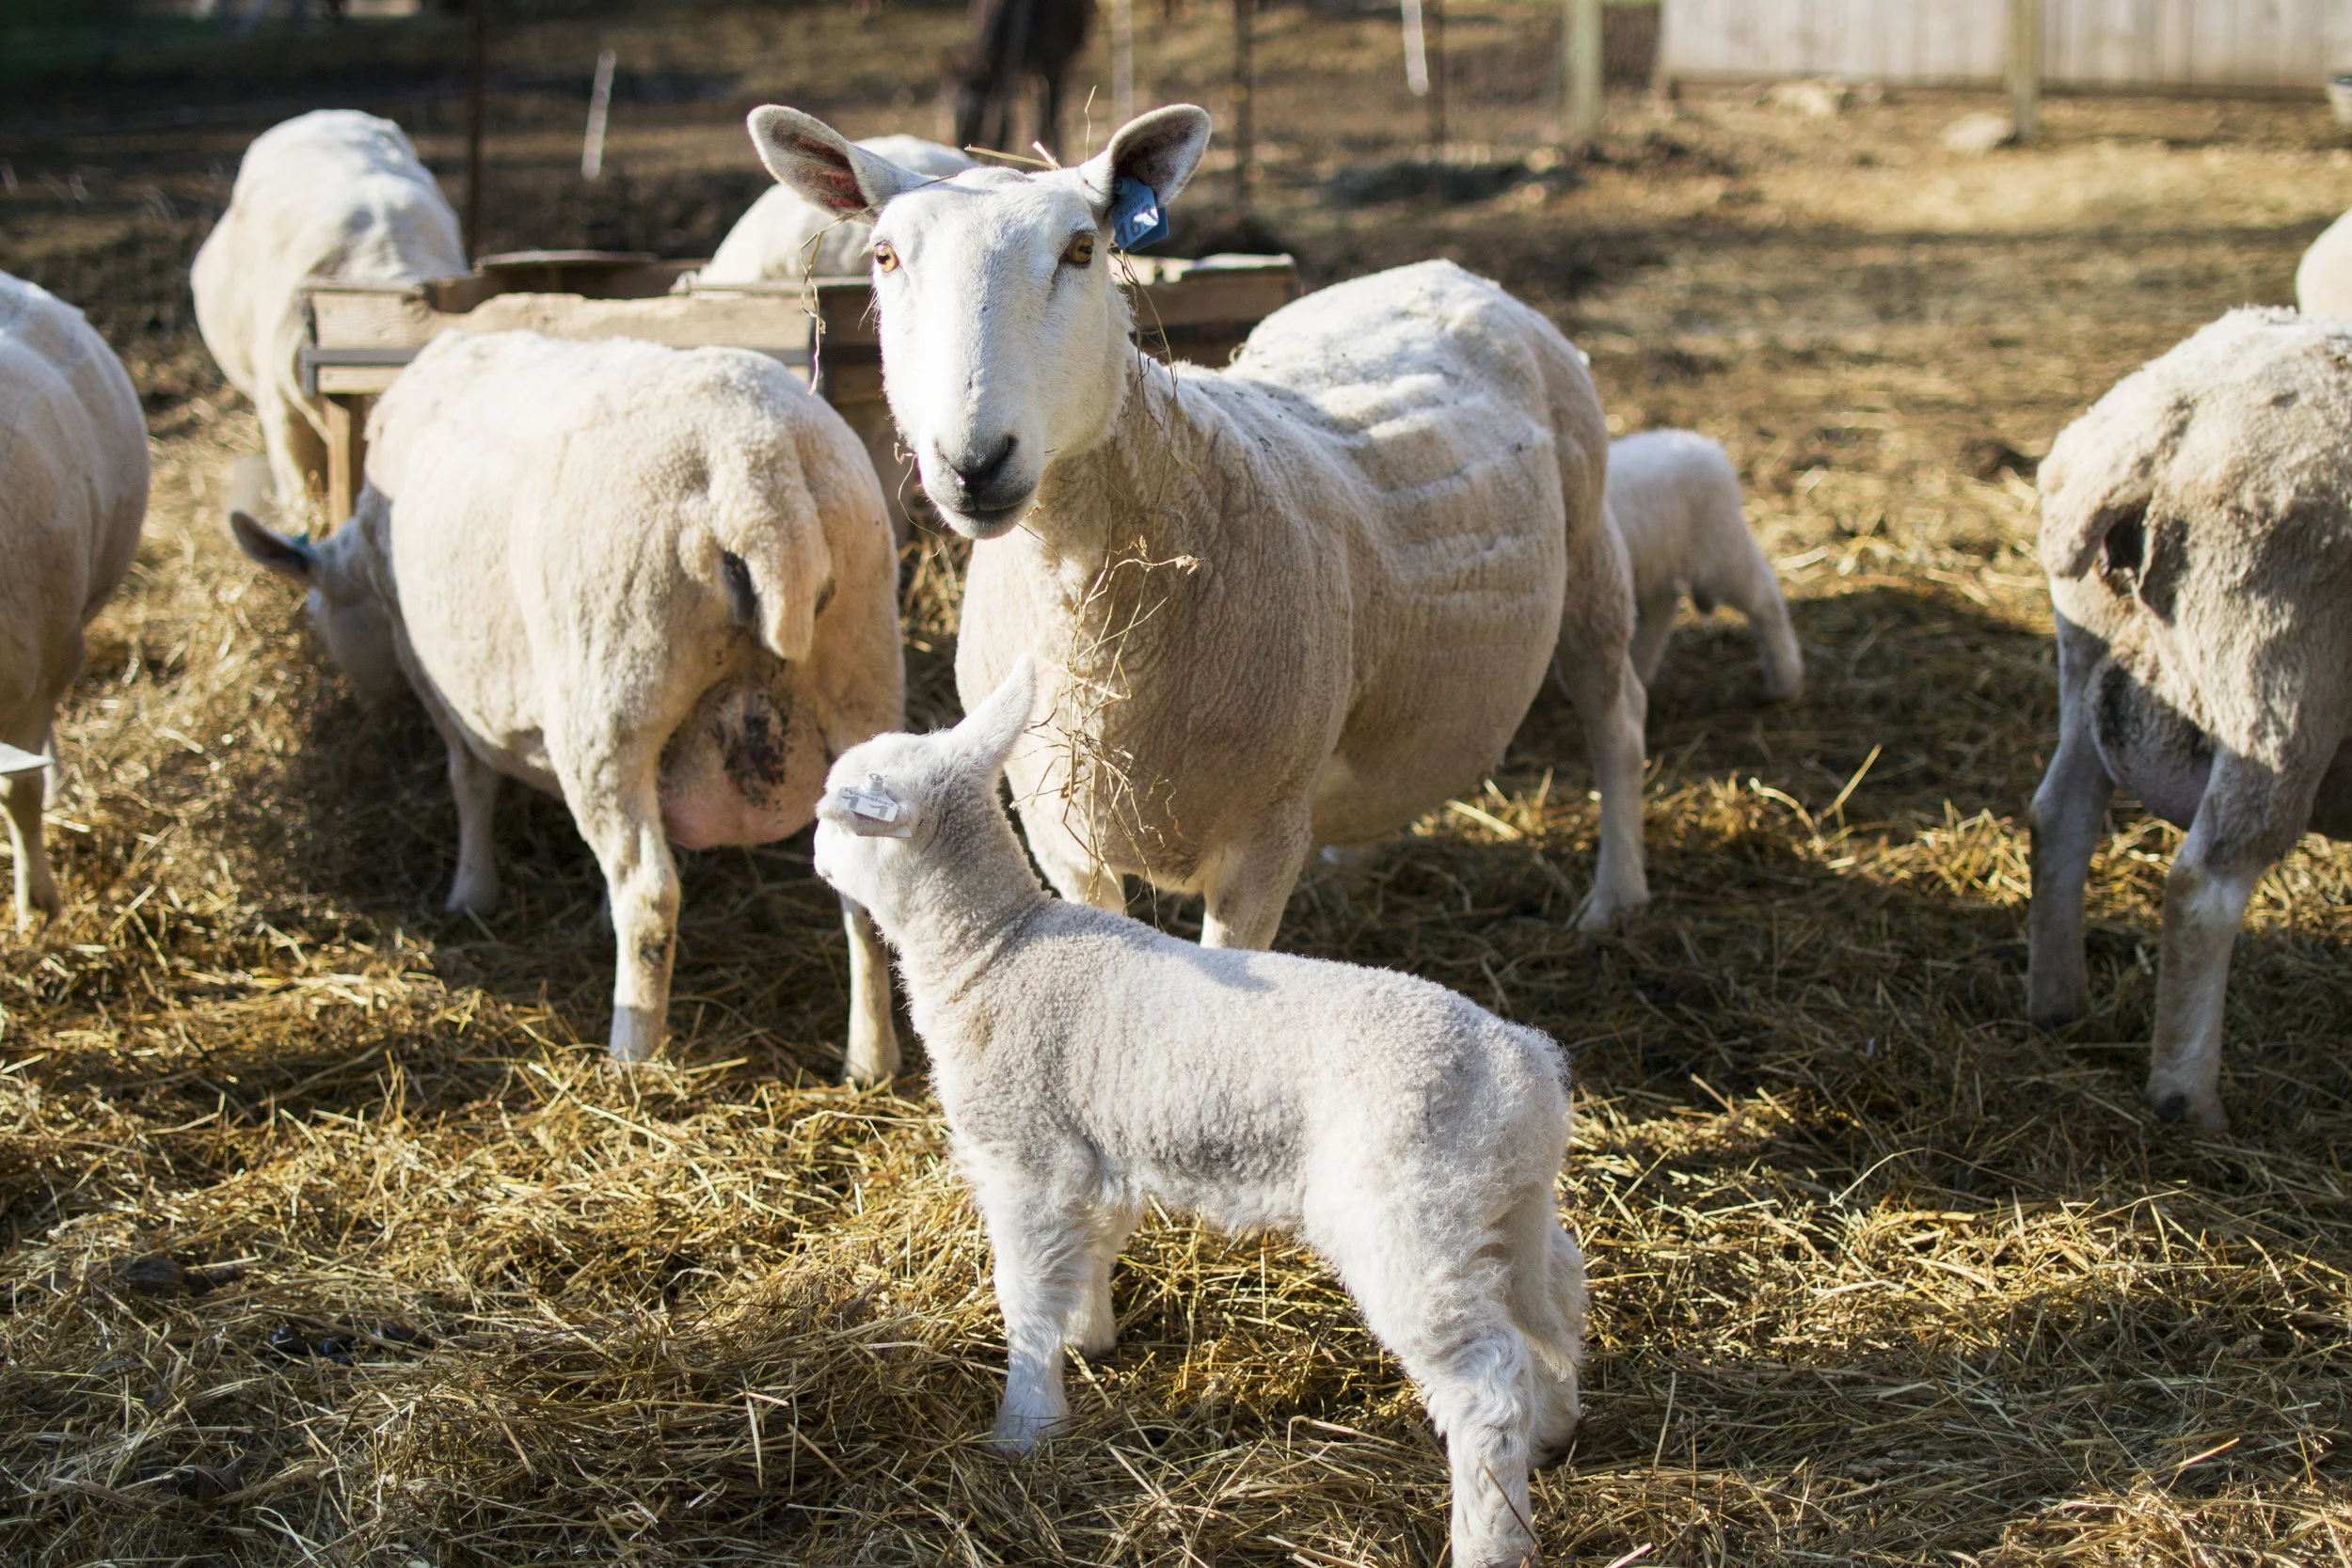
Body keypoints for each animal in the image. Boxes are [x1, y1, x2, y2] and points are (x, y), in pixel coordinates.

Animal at [229, 329, 907, 1079]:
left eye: (319, 613)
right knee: (863, 892)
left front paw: (470, 893)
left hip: (610, 697)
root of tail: (758, 480)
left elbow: (470, 781)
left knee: (648, 892)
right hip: (864, 670)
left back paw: (631, 1056)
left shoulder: (438, 680)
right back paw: (870, 1061)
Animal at [749, 104, 1650, 946]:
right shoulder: (1062, 833)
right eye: (884, 257)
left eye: (1082, 250)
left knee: (1618, 711)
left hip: (1592, 546)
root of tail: (1443, 269)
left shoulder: (1262, 841)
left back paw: (1615, 898)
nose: (973, 462)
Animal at [811, 655, 1588, 1568]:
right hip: (1503, 1204)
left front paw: (1026, 1424)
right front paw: (1090, 1338)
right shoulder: (1096, 1152)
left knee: (1484, 1379)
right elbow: (1087, 1253)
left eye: (840, 812)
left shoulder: (1027, 1155)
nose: (815, 851)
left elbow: (1025, 1293)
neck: (994, 947)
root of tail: (1526, 1069)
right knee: (1554, 1295)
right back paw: (1554, 1432)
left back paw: (1490, 1535)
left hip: (1409, 1217)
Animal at [1607, 429, 1803, 701]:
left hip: (1720, 548)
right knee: (1662, 606)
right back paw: (1640, 668)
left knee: (1766, 599)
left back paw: (1785, 681)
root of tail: (1708, 446)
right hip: (1654, 562)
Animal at [2028, 307, 2352, 1134]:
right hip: (2275, 679)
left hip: (2088, 652)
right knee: (2204, 886)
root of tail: (2163, 427)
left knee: (2059, 816)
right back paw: (2188, 1100)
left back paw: (2061, 1008)